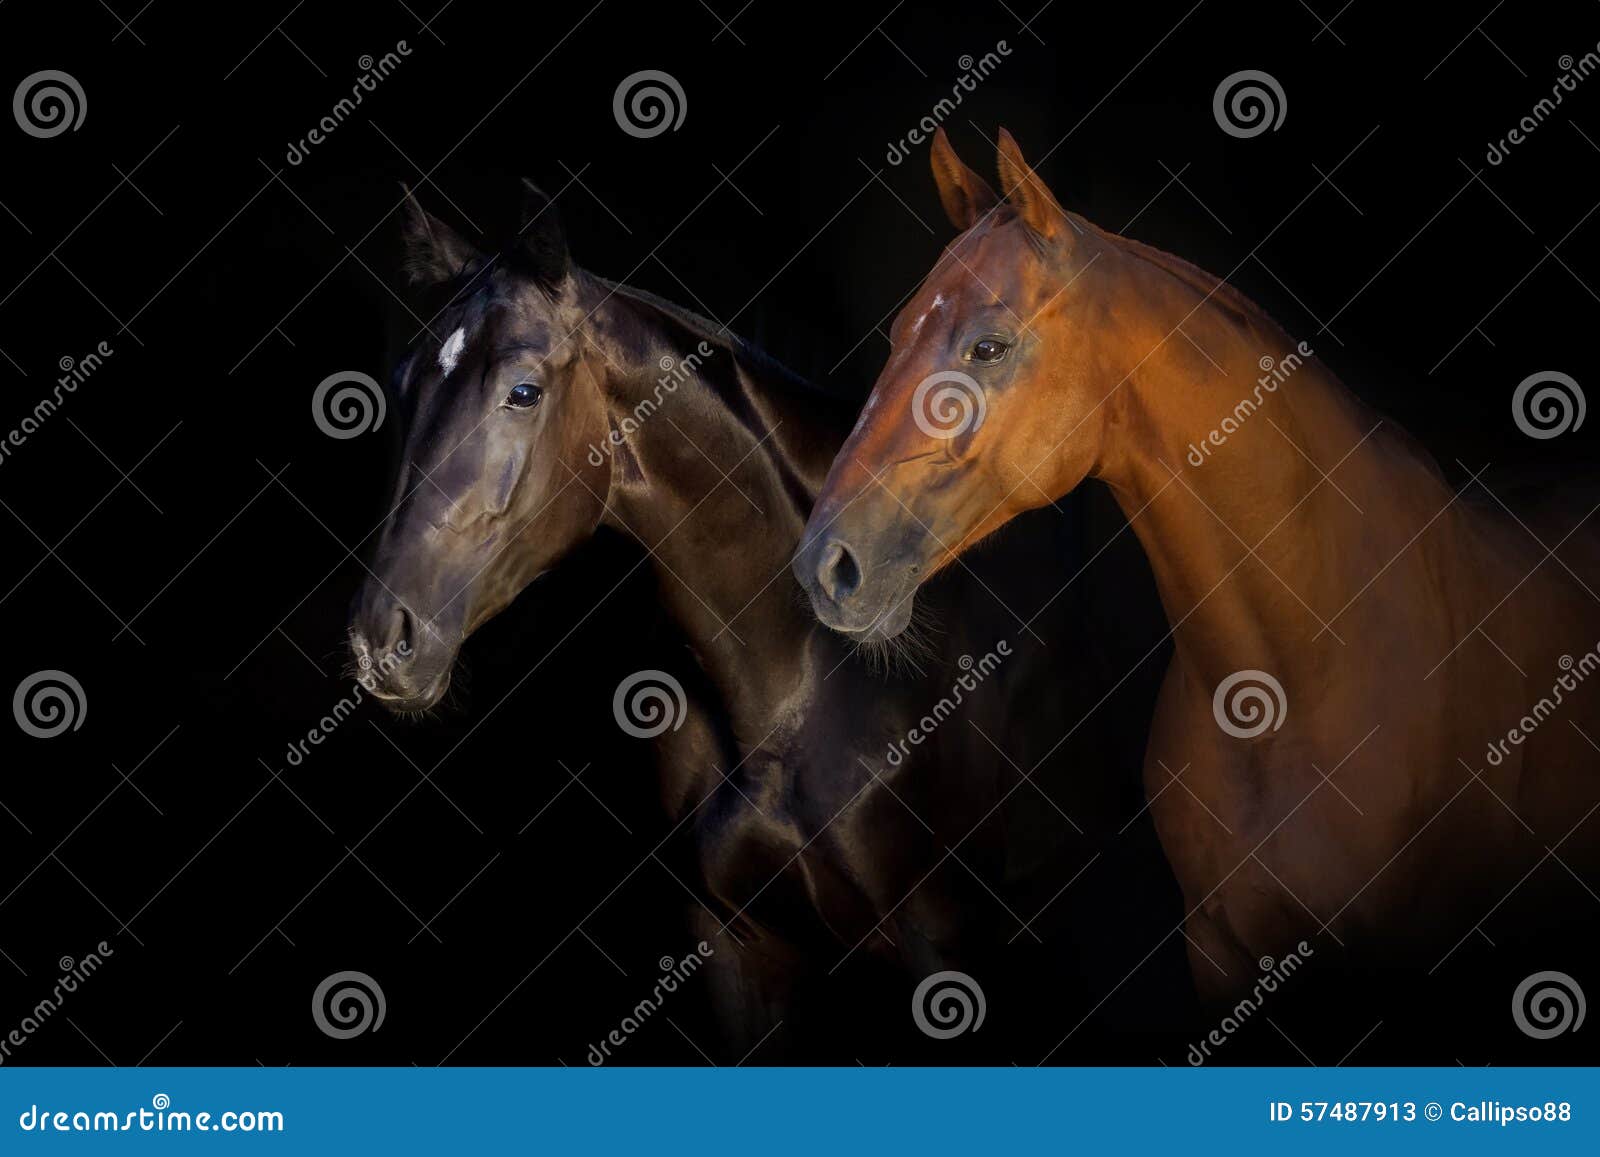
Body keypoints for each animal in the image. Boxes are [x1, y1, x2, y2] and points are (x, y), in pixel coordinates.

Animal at [345, 184, 1171, 1059]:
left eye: (524, 391)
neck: (801, 685)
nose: (380, 639)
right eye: (401, 381)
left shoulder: (945, 946)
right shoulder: (736, 950)